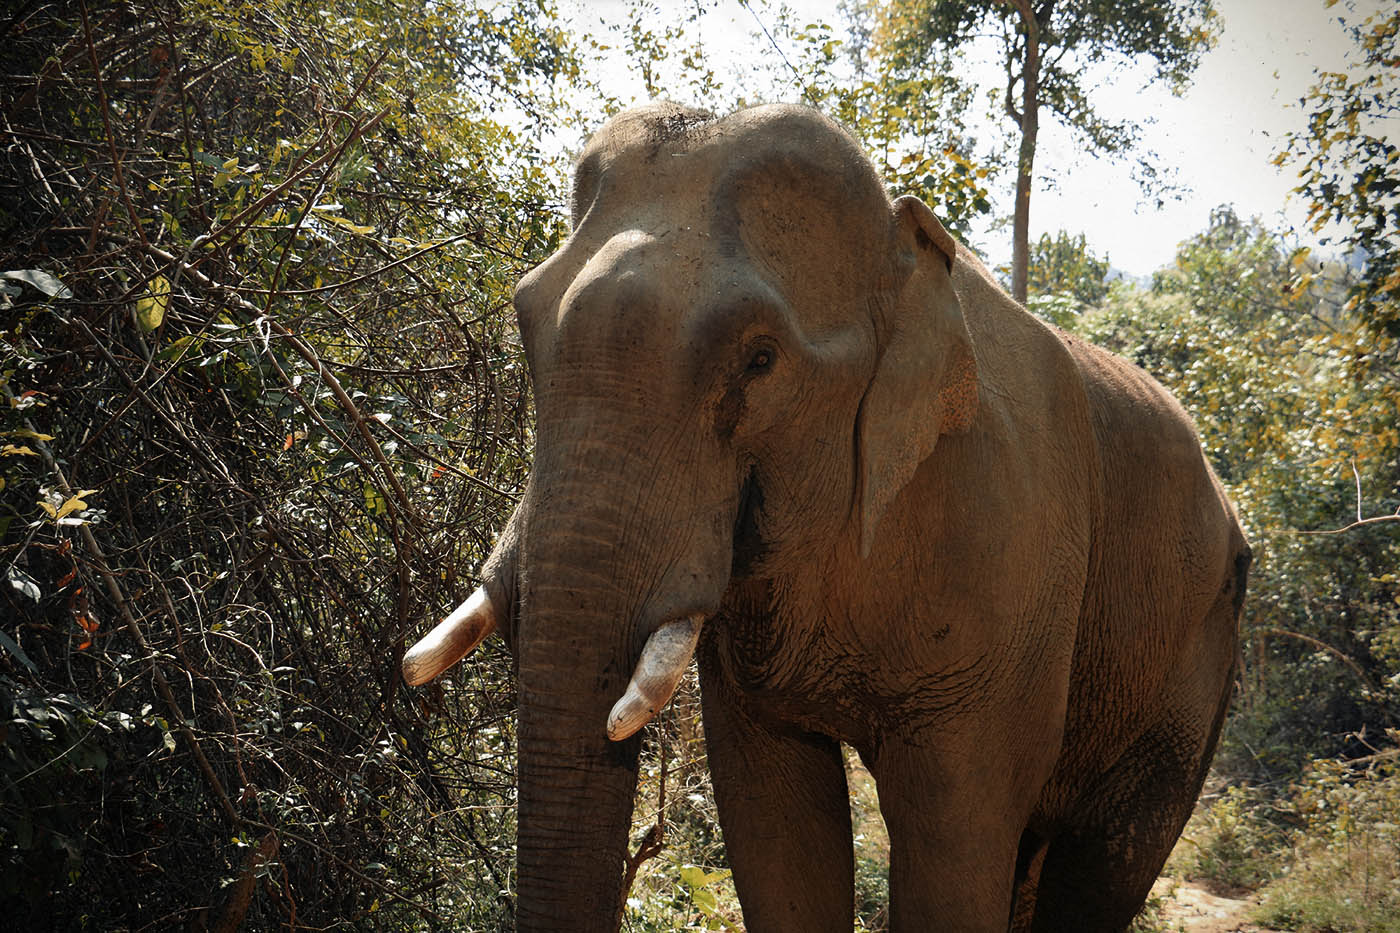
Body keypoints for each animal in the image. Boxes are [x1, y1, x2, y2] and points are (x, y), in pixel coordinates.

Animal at [402, 102, 1251, 932]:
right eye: (524, 322)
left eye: (760, 360)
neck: (903, 247)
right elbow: (774, 823)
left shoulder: (1014, 554)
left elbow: (956, 832)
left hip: (1193, 664)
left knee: (1104, 868)